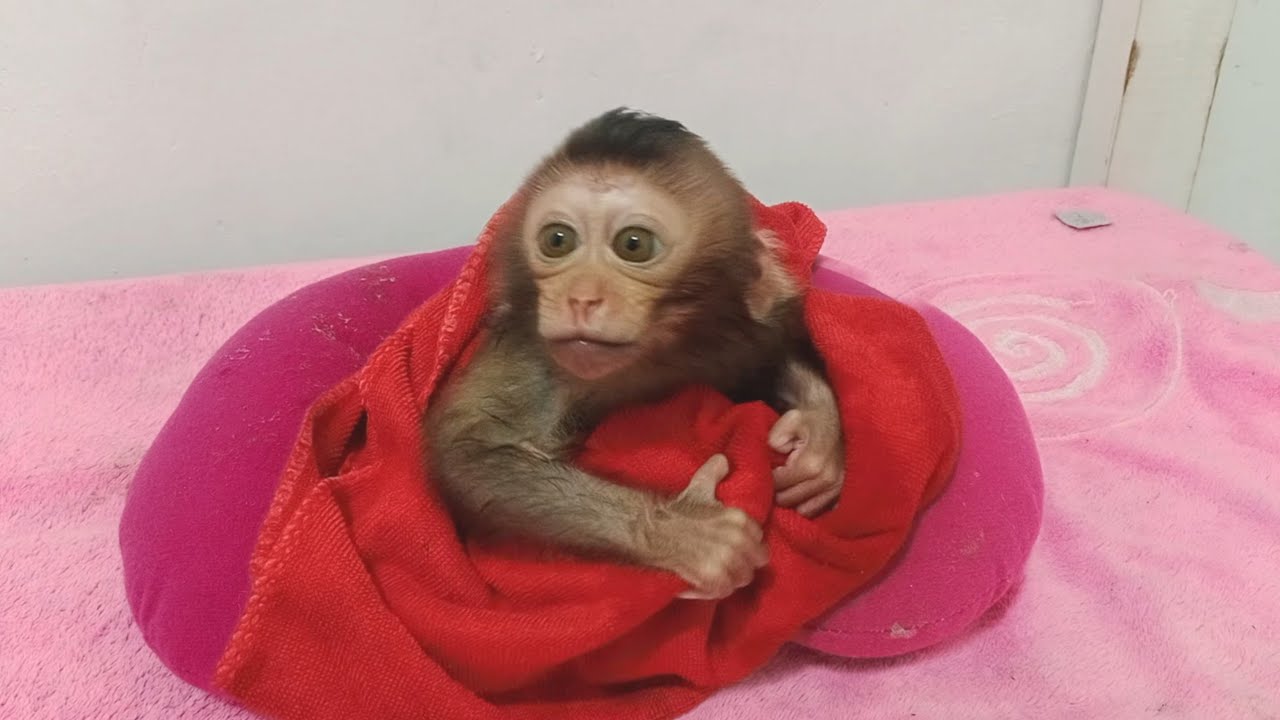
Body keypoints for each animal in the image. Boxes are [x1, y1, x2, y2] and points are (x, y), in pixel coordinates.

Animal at [424, 108, 845, 601]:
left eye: (633, 244)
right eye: (557, 240)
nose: (581, 298)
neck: (654, 357)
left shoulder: (733, 336)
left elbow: (769, 355)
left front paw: (818, 435)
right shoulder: (531, 363)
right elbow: (469, 452)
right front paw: (681, 532)